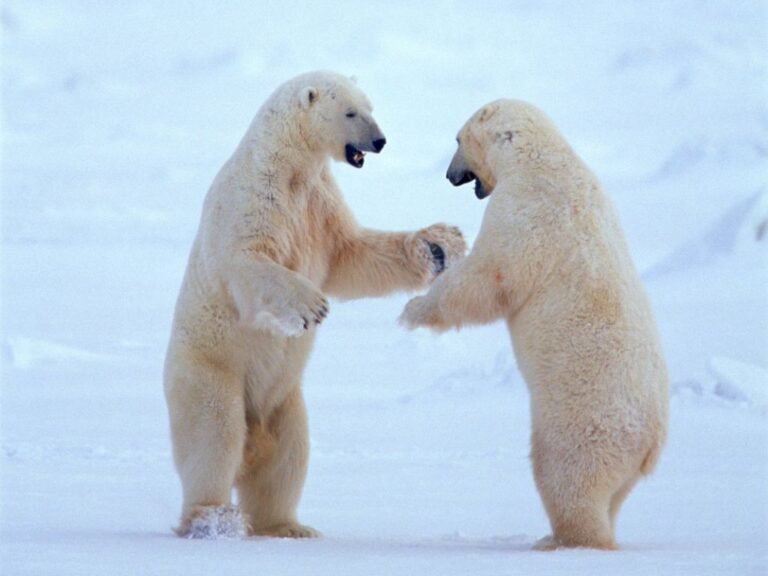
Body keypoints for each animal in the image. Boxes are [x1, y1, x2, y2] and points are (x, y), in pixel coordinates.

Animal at [164, 71, 466, 539]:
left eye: (371, 107)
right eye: (351, 112)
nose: (380, 141)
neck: (288, 166)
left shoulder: (318, 203)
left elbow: (354, 255)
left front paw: (438, 246)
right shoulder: (254, 199)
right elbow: (247, 261)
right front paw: (310, 307)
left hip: (284, 400)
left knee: (288, 455)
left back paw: (288, 526)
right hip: (209, 371)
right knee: (215, 437)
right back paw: (213, 519)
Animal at [400, 99, 669, 550]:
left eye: (457, 140)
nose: (450, 175)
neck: (540, 158)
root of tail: (651, 442)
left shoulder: (527, 210)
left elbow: (491, 276)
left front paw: (413, 310)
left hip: (584, 423)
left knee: (567, 477)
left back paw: (561, 540)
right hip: (627, 458)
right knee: (615, 496)